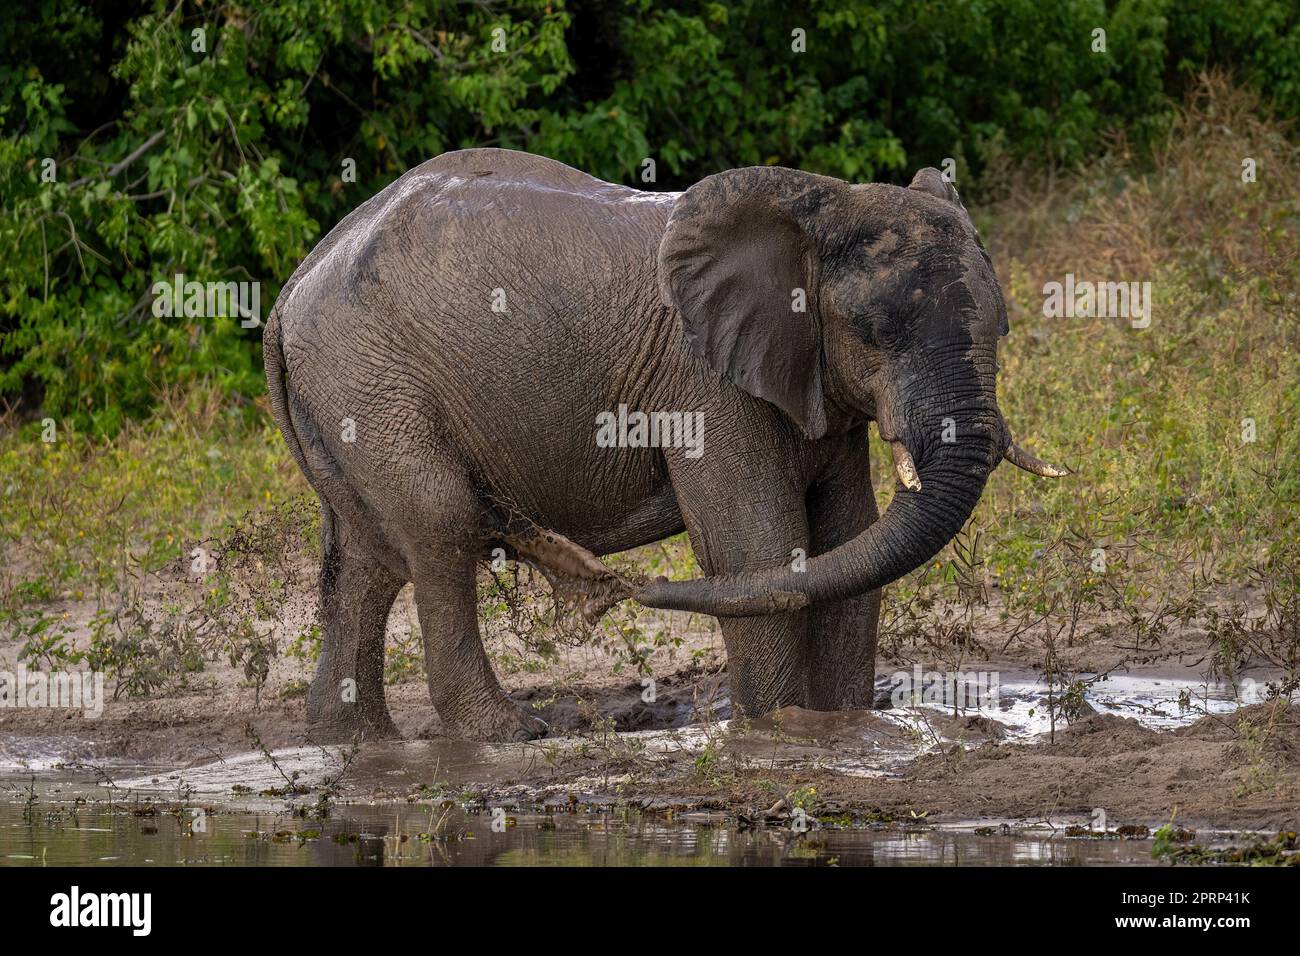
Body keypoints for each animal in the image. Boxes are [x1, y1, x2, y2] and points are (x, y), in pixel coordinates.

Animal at [264, 148, 1065, 742]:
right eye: (874, 334)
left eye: (1001, 328)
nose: (597, 587)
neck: (819, 206)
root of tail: (287, 293)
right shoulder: (704, 381)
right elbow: (758, 543)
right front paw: (779, 734)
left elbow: (847, 537)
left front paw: (843, 729)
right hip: (371, 383)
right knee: (440, 530)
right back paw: (507, 735)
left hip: (347, 402)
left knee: (366, 562)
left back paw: (354, 743)